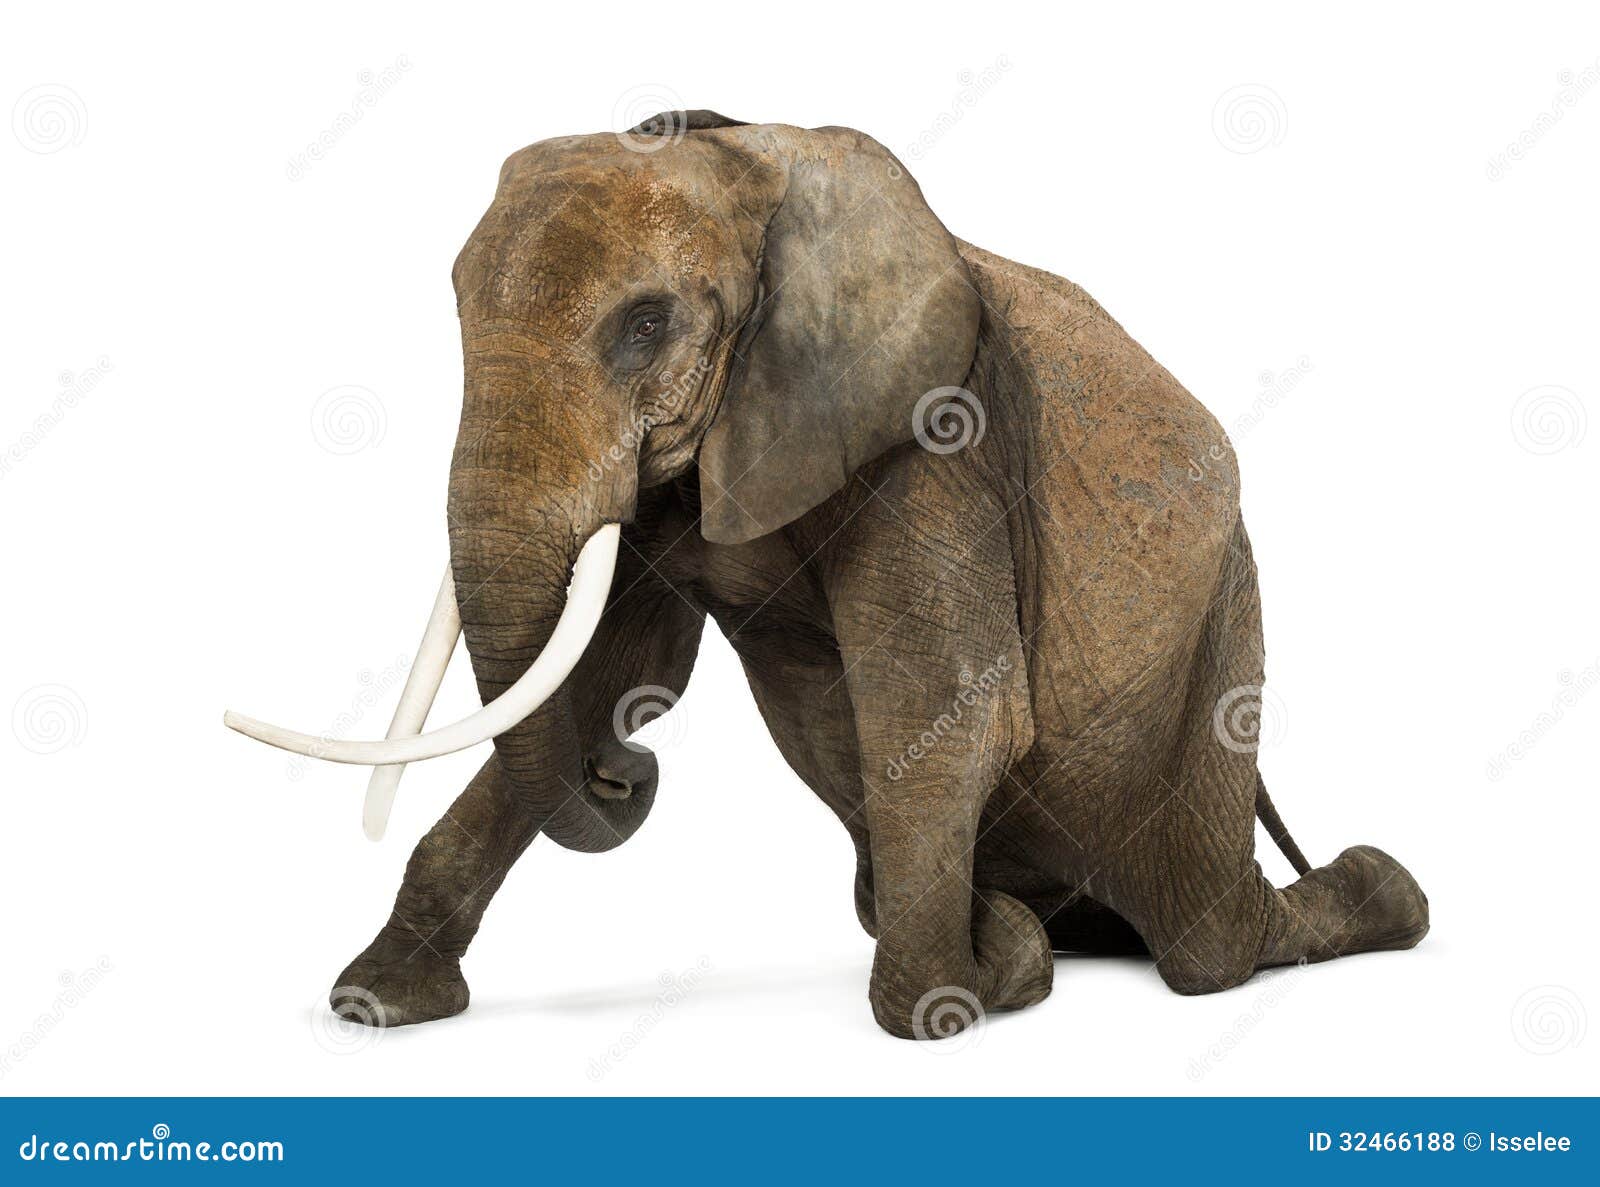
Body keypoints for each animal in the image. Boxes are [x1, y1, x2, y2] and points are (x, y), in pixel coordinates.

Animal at [227, 110, 1429, 1039]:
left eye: (646, 325)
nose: (627, 777)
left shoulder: (940, 436)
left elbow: (951, 712)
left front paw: (947, 1007)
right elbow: (601, 671)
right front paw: (373, 1004)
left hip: (1221, 631)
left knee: (1210, 939)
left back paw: (1364, 894)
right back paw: (1055, 932)